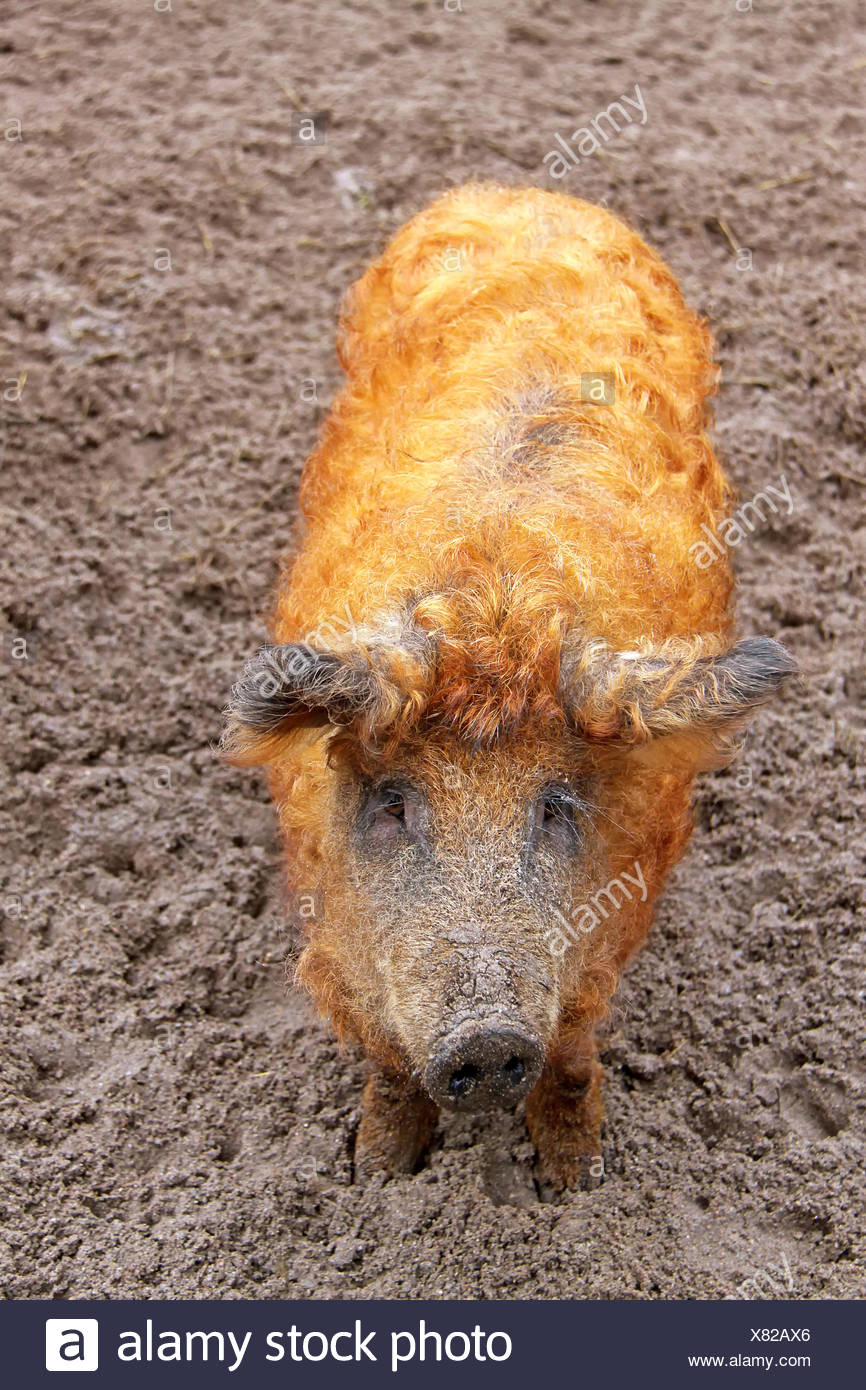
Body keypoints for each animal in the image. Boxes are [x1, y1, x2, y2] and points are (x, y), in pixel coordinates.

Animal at [222, 184, 795, 1190]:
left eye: (556, 807)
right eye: (391, 803)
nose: (486, 1040)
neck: (497, 607)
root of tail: (531, 191)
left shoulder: (606, 927)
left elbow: (568, 1053)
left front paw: (574, 1182)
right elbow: (386, 1060)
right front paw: (379, 1174)